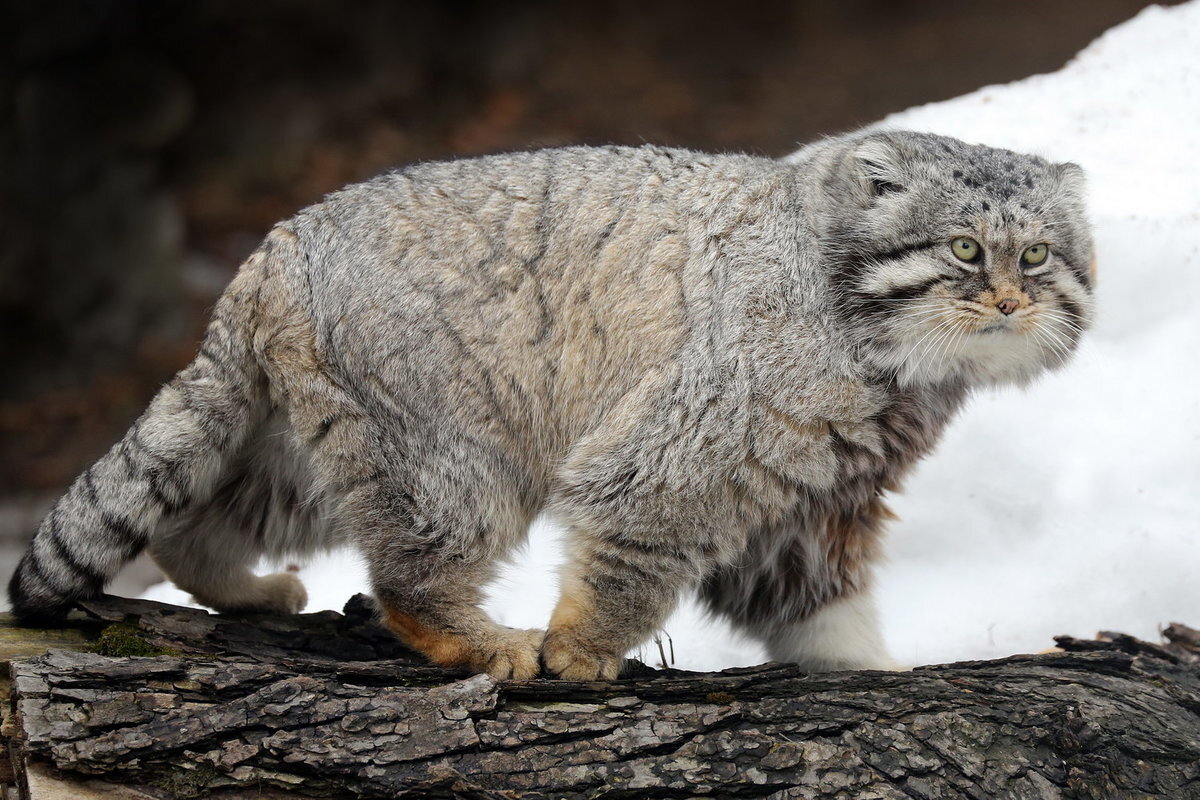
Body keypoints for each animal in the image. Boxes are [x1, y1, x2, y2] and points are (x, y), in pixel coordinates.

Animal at [11, 133, 1099, 681]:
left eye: (1040, 253)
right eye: (966, 248)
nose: (1013, 301)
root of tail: (276, 247)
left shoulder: (820, 491)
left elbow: (808, 594)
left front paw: (867, 673)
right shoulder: (695, 441)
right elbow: (631, 547)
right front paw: (583, 650)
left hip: (321, 441)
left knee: (197, 517)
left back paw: (239, 584)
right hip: (453, 444)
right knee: (411, 573)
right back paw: (482, 638)